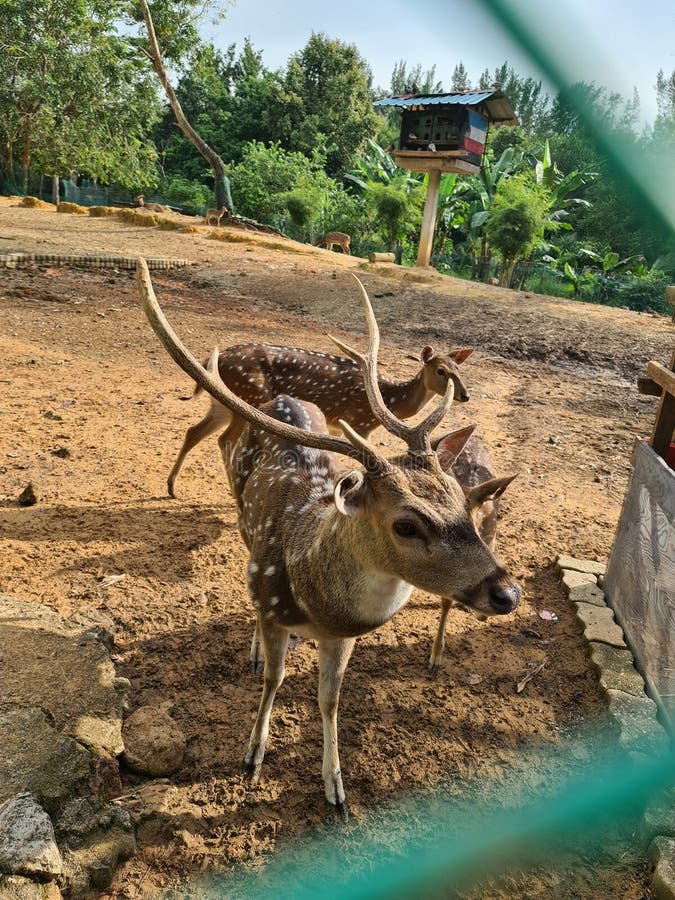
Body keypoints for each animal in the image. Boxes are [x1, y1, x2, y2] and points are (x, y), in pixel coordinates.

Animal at [166, 342, 474, 498]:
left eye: (459, 369)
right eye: (441, 371)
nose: (465, 394)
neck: (392, 399)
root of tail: (212, 361)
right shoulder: (358, 422)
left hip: (221, 403)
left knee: (194, 432)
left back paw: (172, 488)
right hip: (246, 398)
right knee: (224, 439)